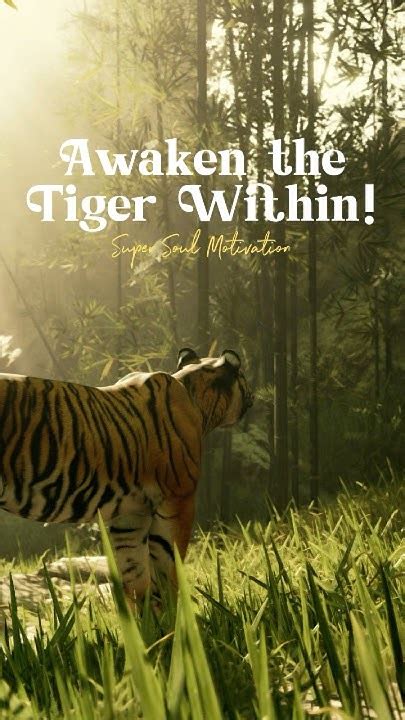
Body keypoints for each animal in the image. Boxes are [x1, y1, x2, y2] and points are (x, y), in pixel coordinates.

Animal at [0, 347, 254, 607]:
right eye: (243, 375)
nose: (252, 394)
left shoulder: (131, 515)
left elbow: (135, 577)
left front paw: (146, 618)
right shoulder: (178, 500)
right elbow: (168, 570)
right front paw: (175, 614)